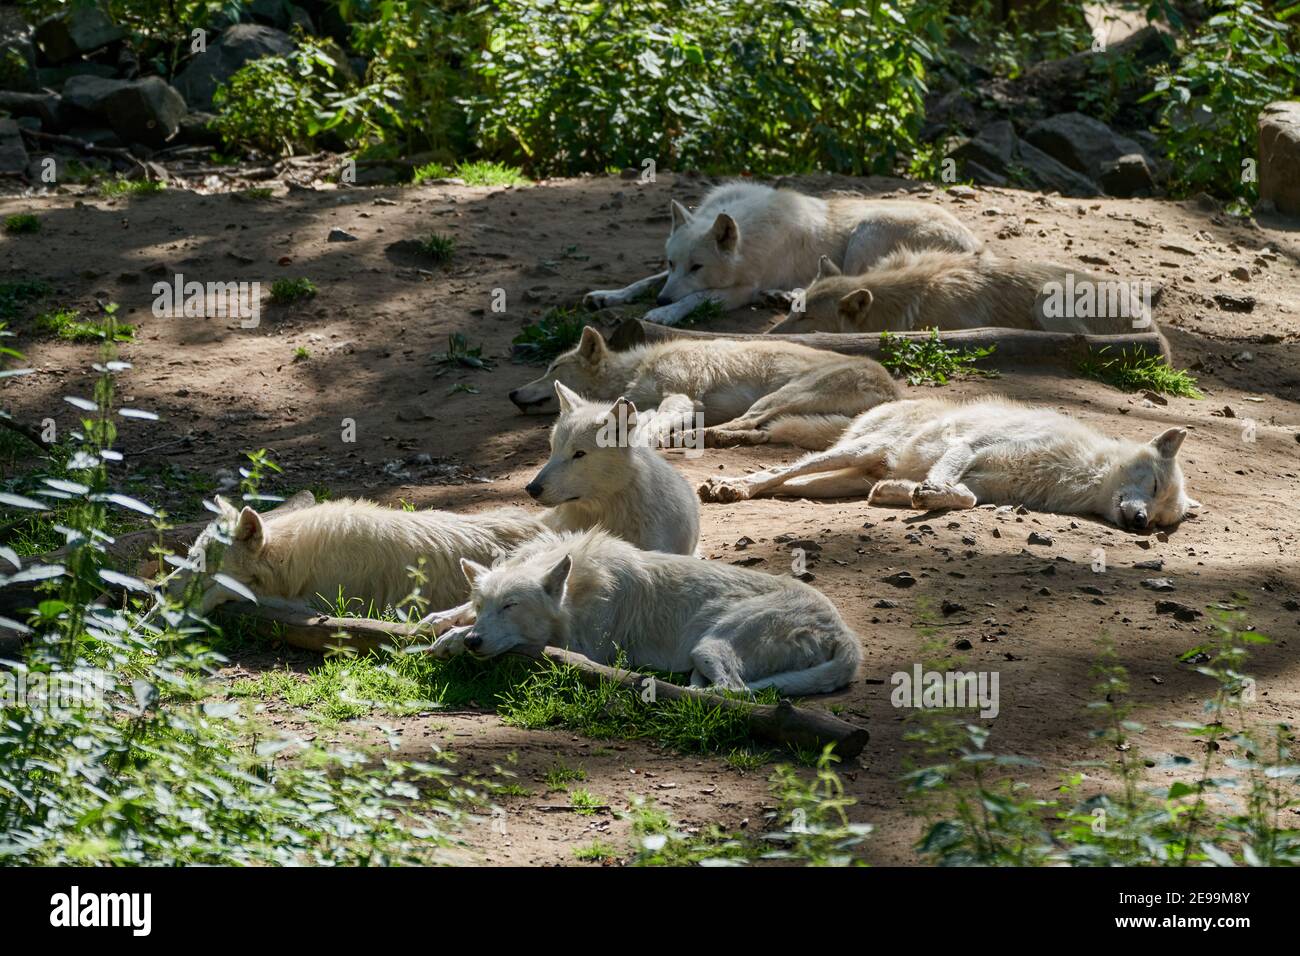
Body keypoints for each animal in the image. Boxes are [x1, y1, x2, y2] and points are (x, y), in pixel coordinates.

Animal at [423, 529, 863, 695]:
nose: (476, 640)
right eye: (484, 606)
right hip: (702, 654)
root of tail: (844, 632)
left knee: (732, 691)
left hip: (710, 644)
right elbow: (454, 614)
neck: (579, 587)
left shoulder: (582, 647)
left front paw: (455, 639)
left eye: (510, 607)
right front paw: (440, 625)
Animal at [509, 325, 899, 449]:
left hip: (782, 396)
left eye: (552, 368)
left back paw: (694, 438)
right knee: (760, 431)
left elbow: (652, 428)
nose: (511, 393)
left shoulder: (680, 399)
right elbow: (645, 421)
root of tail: (894, 393)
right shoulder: (650, 403)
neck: (634, 370)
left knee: (743, 423)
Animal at [583, 181, 981, 326]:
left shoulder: (739, 290)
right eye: (672, 262)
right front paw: (607, 296)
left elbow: (694, 298)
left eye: (698, 266)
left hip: (867, 232)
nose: (664, 299)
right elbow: (645, 281)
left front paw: (664, 313)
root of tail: (975, 243)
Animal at [698, 398, 1201, 531]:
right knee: (779, 472)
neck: (1077, 474)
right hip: (855, 450)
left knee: (787, 485)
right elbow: (959, 491)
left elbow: (967, 497)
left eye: (1161, 521)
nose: (1140, 523)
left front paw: (905, 494)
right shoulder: (968, 447)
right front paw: (929, 495)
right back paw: (730, 487)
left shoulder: (986, 481)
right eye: (1155, 487)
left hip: (841, 479)